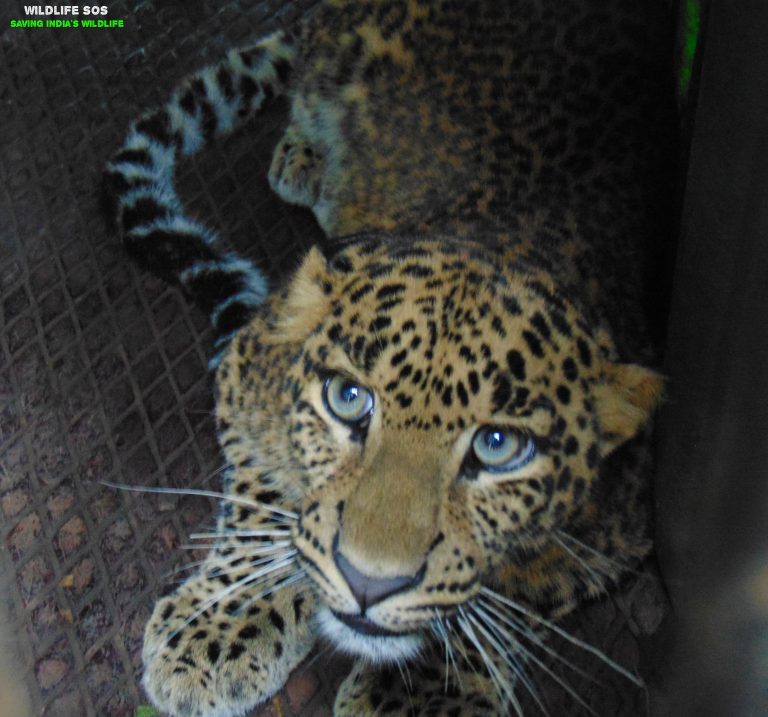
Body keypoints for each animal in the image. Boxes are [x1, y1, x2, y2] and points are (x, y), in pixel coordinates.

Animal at [104, 0, 676, 715]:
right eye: (348, 400)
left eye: (498, 447)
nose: (369, 583)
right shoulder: (250, 358)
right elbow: (268, 503)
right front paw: (218, 624)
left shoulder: (620, 528)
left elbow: (514, 595)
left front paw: (422, 694)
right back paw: (304, 158)